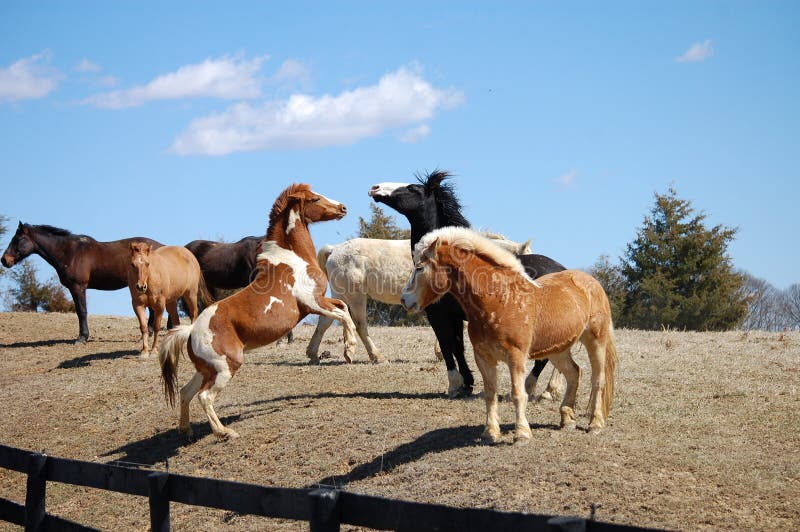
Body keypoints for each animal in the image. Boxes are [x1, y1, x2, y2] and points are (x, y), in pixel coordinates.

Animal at [1, 222, 163, 343]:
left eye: (18, 239)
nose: (4, 260)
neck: (70, 253)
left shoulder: (78, 287)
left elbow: (81, 311)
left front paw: (82, 337)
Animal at [158, 184, 358, 440]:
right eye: (315, 199)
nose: (343, 208)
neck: (293, 261)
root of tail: (191, 331)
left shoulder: (321, 299)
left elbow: (342, 308)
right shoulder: (311, 302)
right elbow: (342, 315)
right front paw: (349, 350)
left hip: (206, 370)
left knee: (185, 392)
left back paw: (187, 431)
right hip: (226, 367)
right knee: (204, 397)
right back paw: (225, 432)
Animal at [306, 234, 532, 363]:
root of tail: (335, 249)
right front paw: (441, 352)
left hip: (340, 294)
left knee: (326, 319)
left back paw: (314, 354)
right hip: (356, 297)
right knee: (360, 325)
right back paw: (376, 356)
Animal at [369, 170, 566, 398]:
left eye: (412, 188)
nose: (374, 188)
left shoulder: (438, 315)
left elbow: (447, 346)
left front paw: (455, 384)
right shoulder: (455, 318)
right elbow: (458, 347)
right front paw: (467, 383)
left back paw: (534, 388)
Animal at [401, 227, 617, 443]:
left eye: (419, 268)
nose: (404, 299)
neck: (500, 300)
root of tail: (591, 281)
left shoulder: (516, 357)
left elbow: (518, 394)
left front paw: (522, 434)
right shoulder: (483, 357)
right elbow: (490, 393)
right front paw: (490, 433)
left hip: (596, 340)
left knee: (598, 380)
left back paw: (595, 424)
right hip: (558, 349)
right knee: (574, 372)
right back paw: (567, 419)